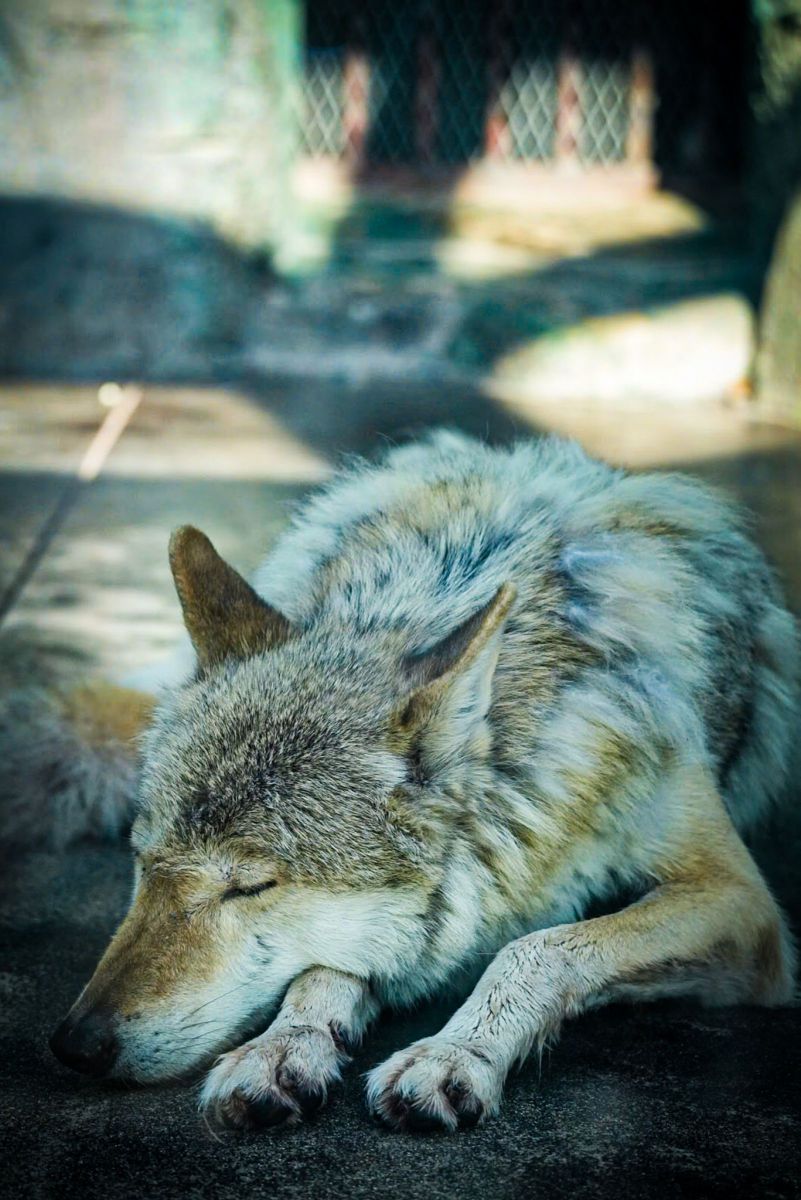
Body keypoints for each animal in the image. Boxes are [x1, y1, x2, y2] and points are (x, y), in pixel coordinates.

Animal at [38, 431, 798, 1133]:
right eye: (143, 862)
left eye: (249, 887)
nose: (75, 1045)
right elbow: (329, 965)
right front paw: (286, 1046)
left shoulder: (738, 902)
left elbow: (537, 948)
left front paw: (455, 1053)